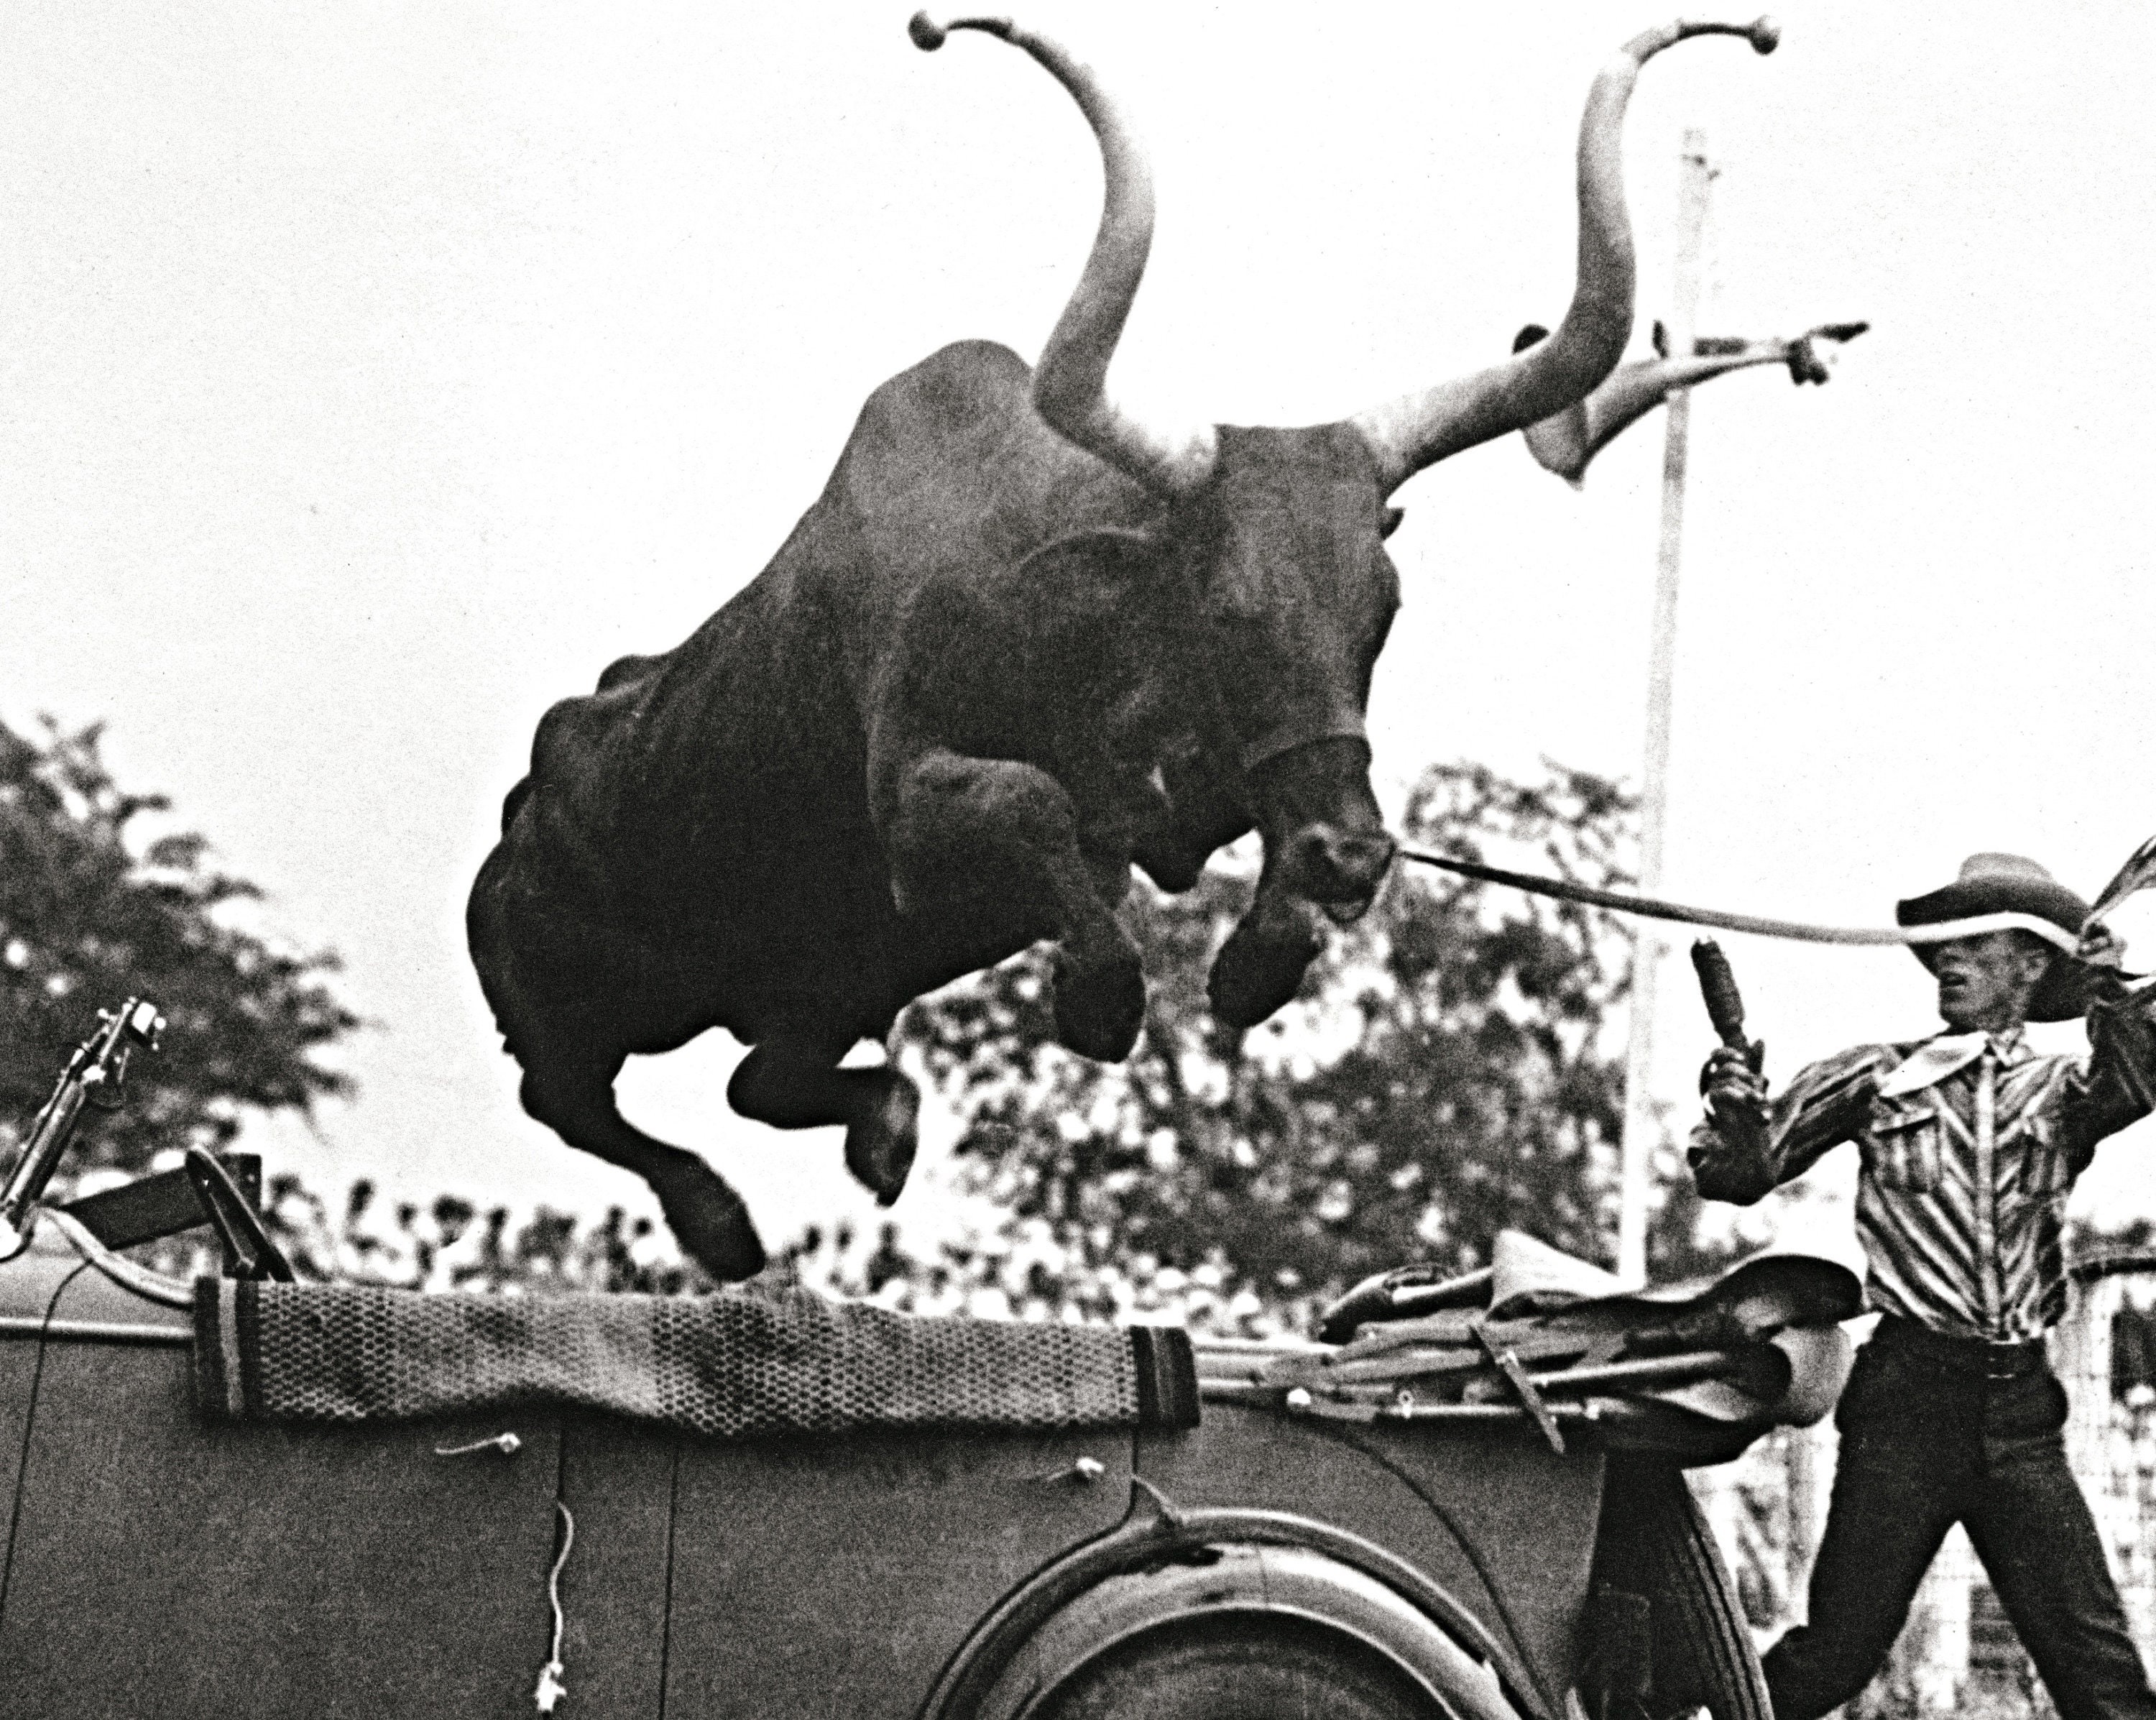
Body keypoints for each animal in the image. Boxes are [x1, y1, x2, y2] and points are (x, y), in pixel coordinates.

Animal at [468, 12, 1781, 1282]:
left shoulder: (1192, 808)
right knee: (567, 1101)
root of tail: (529, 802)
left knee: (761, 1080)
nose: (1357, 856)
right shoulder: (915, 810)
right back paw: (720, 1220)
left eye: (1383, 608)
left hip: (819, 993)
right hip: (575, 1002)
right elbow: (1036, 808)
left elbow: (1244, 839)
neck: (1067, 620)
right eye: (1229, 608)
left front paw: (1257, 958)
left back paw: (879, 1131)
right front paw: (1101, 996)